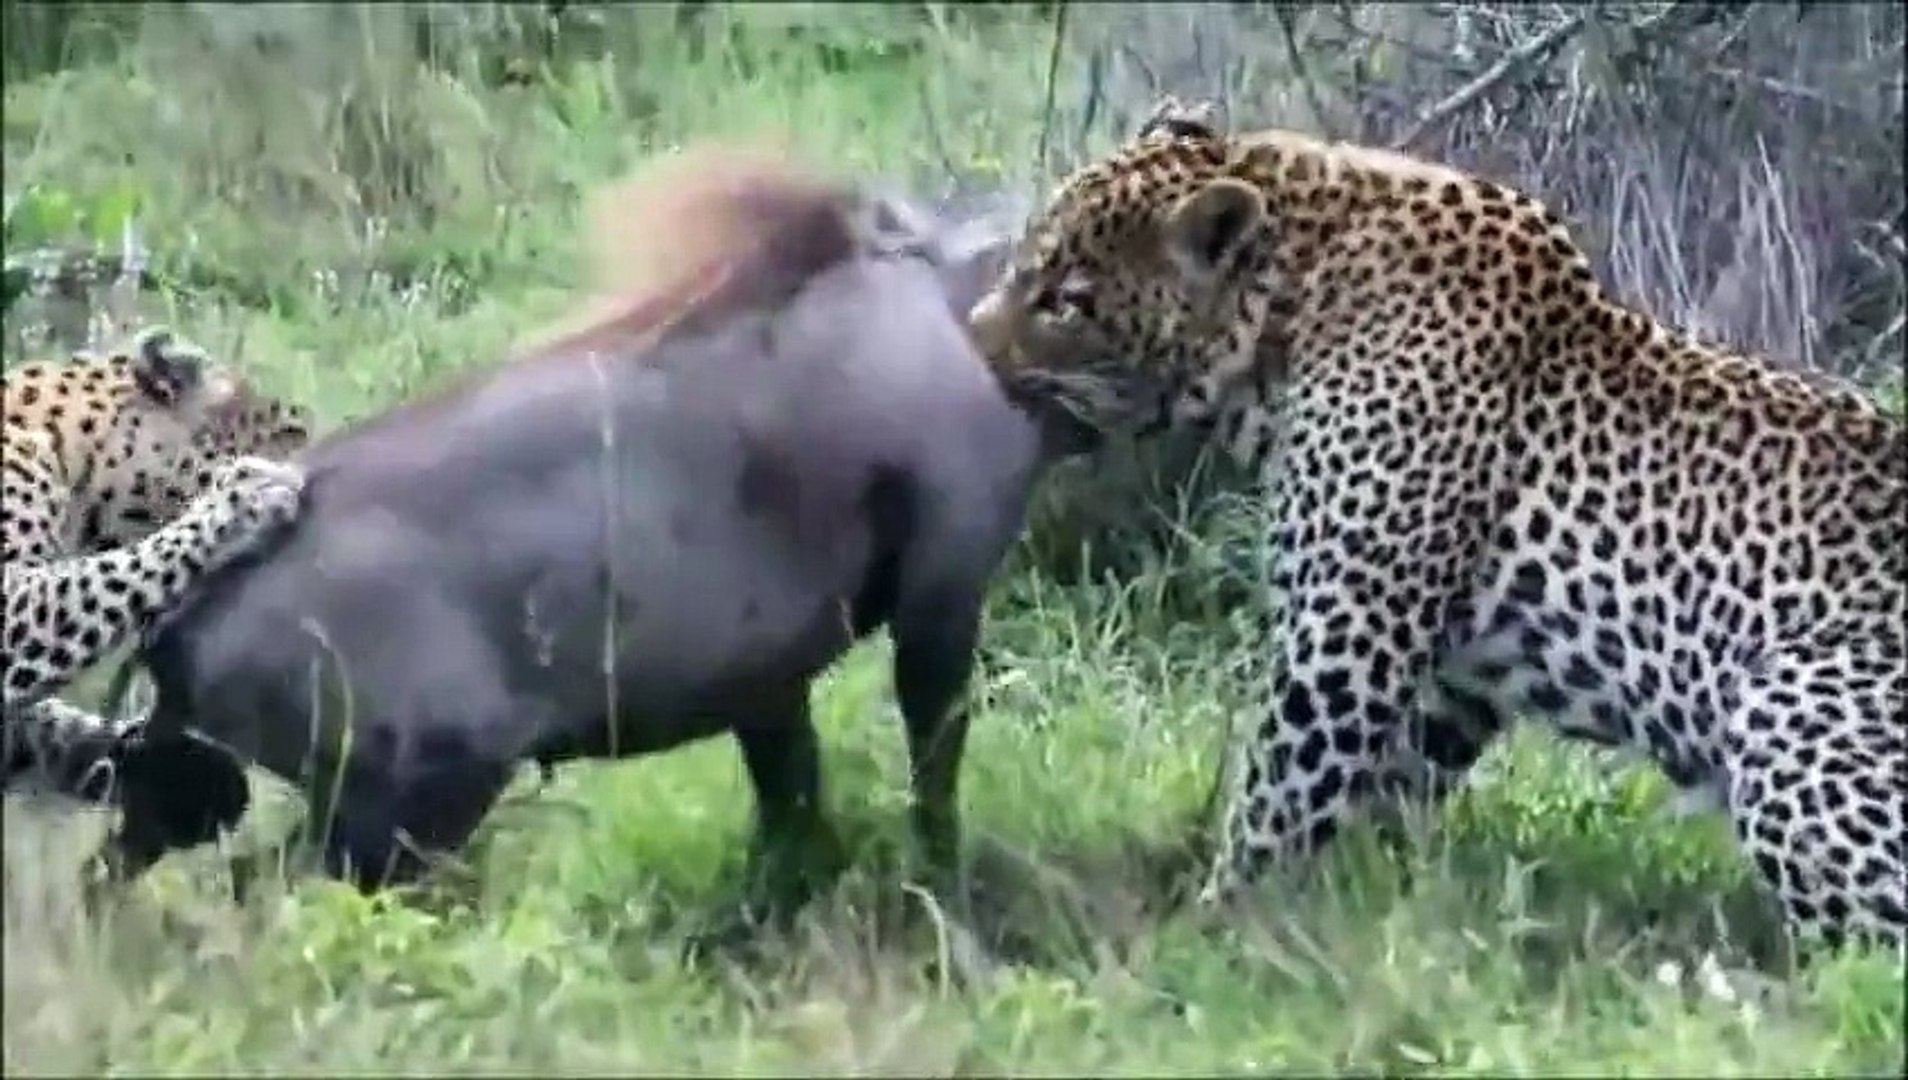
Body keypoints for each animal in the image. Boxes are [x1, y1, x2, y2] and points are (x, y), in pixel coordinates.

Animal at [968, 97, 1905, 952]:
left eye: (1066, 300)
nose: (971, 342)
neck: (1292, 307)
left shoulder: (1347, 639)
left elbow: (1278, 798)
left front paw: (1213, 933)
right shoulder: (1448, 681)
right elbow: (1382, 795)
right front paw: (1363, 907)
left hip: (1784, 711)